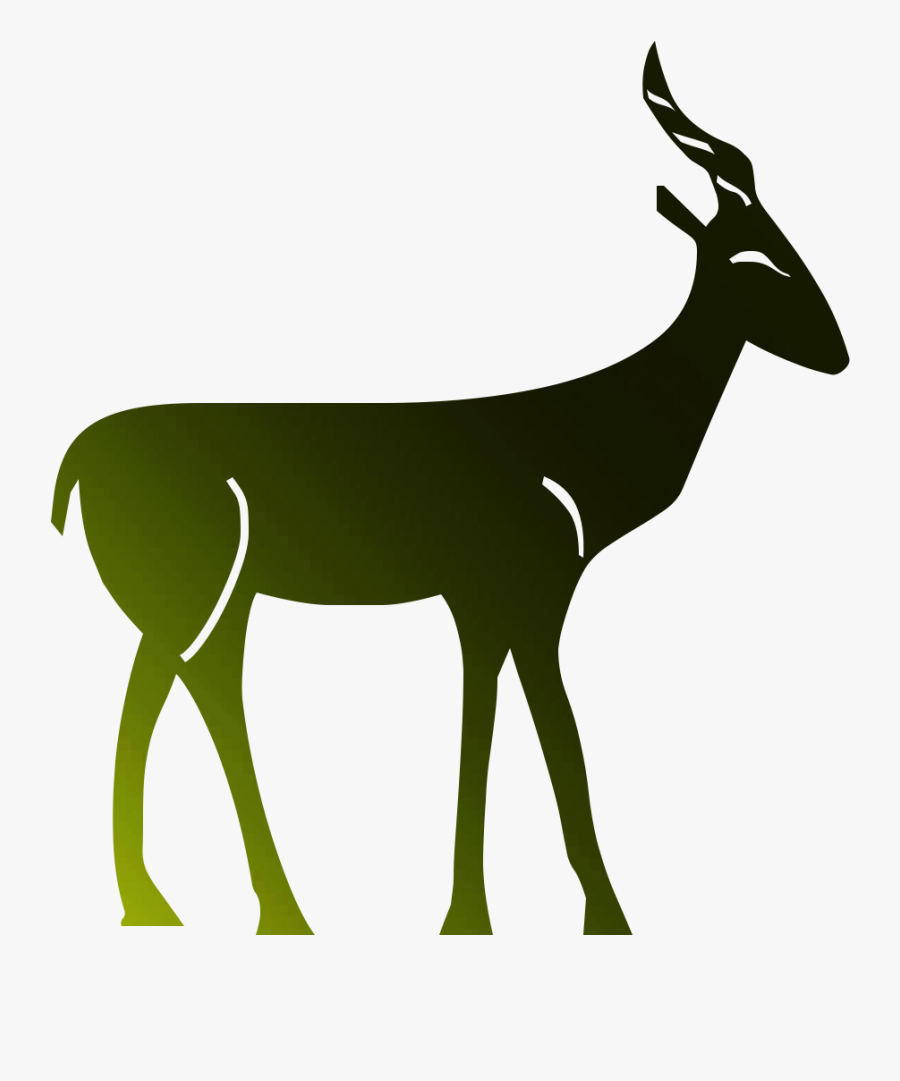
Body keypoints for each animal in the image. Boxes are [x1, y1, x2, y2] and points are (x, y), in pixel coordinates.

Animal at [52, 44, 848, 935]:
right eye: (756, 258)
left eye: (788, 239)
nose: (840, 352)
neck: (578, 443)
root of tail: (79, 454)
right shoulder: (523, 603)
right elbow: (553, 734)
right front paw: (581, 915)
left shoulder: (490, 609)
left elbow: (493, 725)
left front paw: (482, 912)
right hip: (197, 595)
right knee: (175, 688)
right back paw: (206, 907)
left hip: (215, 599)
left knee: (189, 685)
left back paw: (226, 906)